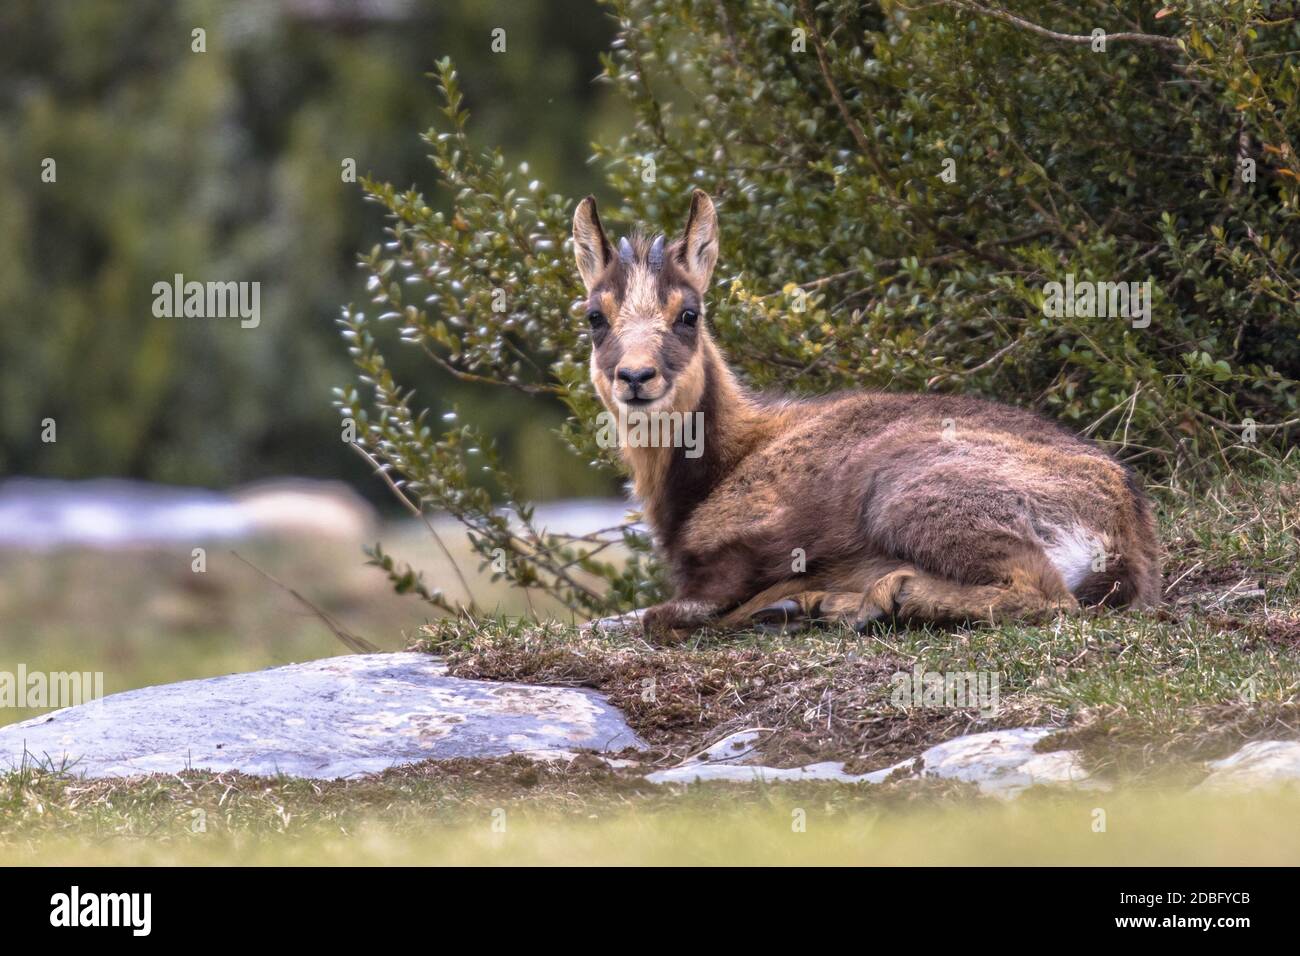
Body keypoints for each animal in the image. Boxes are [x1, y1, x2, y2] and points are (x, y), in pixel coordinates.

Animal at [573, 190, 1161, 641]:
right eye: (594, 316)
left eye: (689, 313)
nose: (636, 376)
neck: (716, 468)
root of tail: (1123, 535)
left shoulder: (744, 555)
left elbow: (658, 615)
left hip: (909, 497)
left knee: (1046, 594)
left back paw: (867, 600)